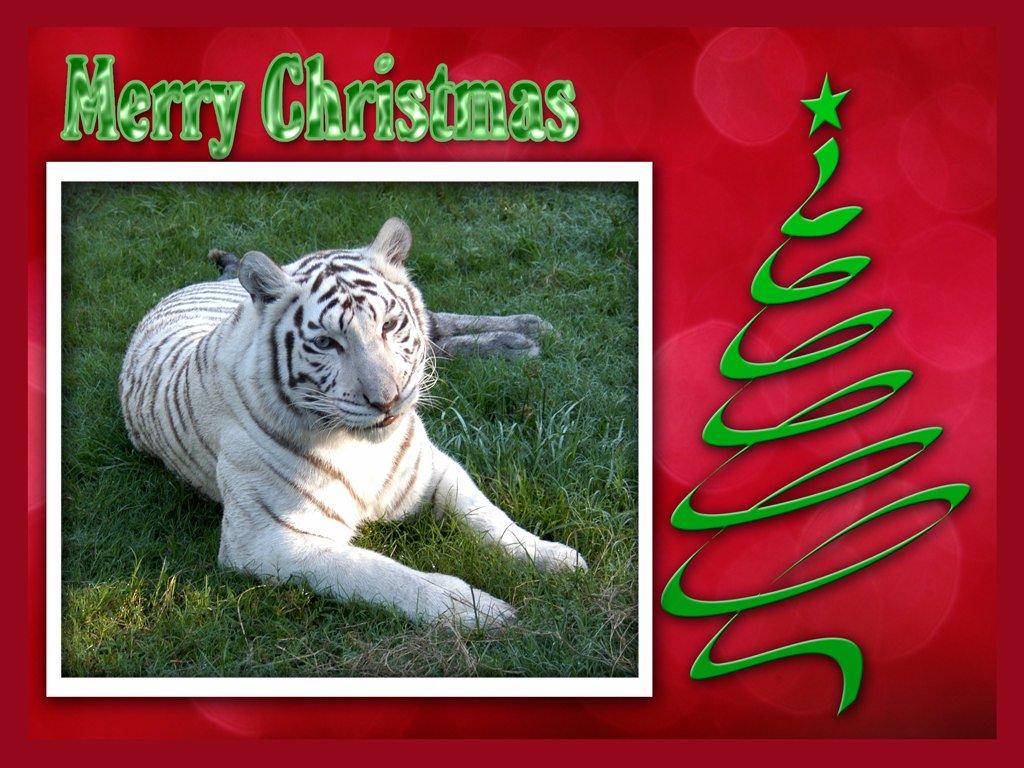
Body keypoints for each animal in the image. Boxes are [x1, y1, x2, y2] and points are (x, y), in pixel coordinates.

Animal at [119, 218, 586, 628]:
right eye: (326, 342)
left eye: (390, 325)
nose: (387, 400)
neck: (362, 446)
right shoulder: (265, 538)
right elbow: (378, 572)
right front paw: (475, 609)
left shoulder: (436, 470)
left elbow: (490, 518)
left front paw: (556, 558)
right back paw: (524, 340)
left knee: (439, 324)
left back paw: (530, 329)